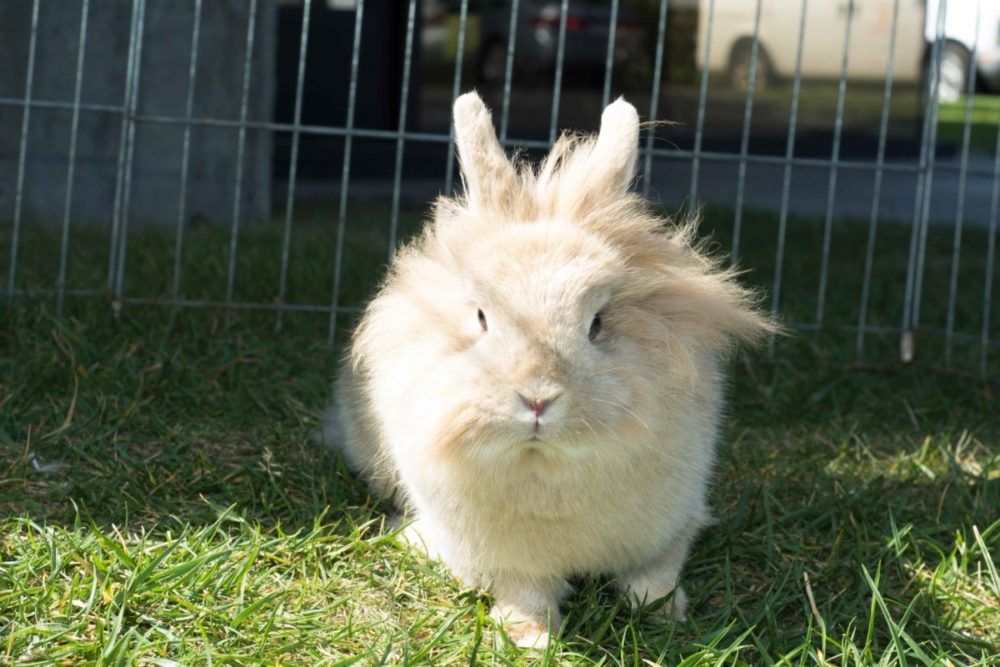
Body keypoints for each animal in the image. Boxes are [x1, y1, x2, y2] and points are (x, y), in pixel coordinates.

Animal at [324, 91, 774, 648]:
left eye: (597, 323)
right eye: (481, 317)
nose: (537, 397)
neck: (547, 465)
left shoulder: (670, 528)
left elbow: (654, 576)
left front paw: (666, 614)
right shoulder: (509, 560)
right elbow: (528, 594)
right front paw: (532, 638)